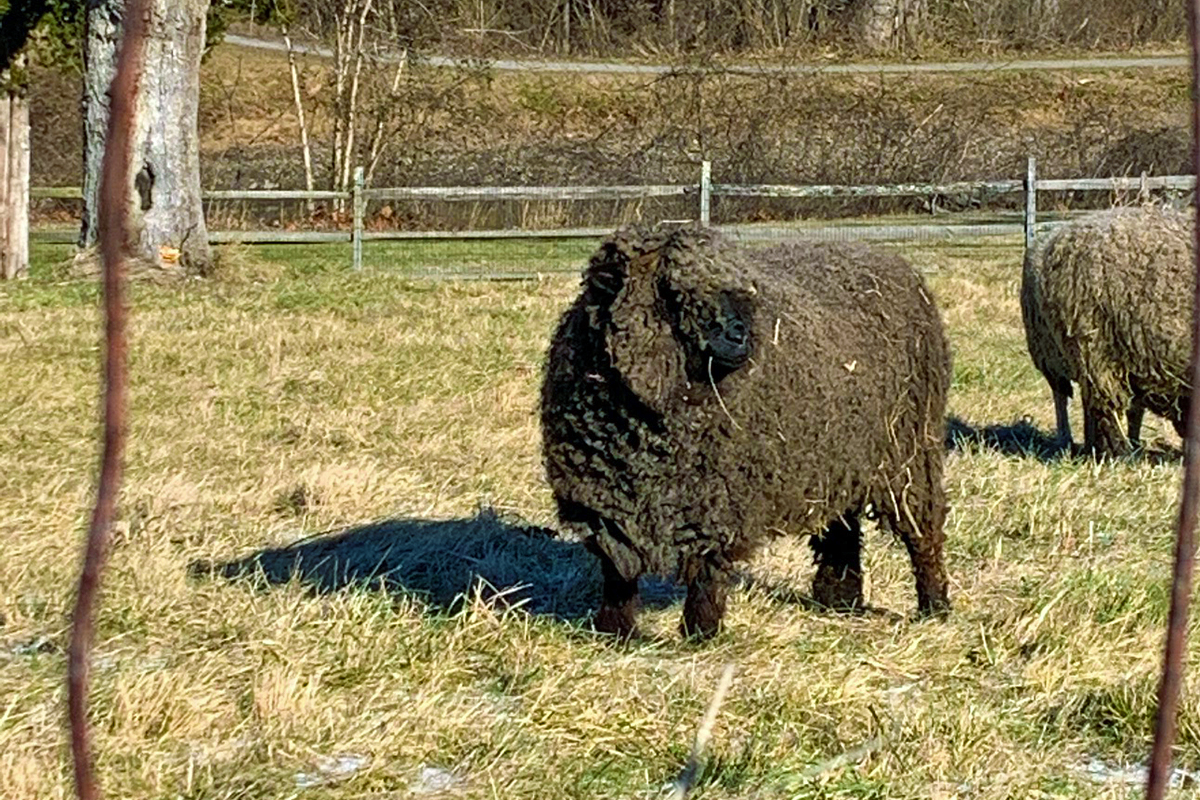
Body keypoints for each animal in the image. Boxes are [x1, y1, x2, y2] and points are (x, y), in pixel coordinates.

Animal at [540, 224, 951, 640]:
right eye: (672, 291)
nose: (741, 336)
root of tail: (890, 258)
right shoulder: (605, 505)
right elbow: (617, 573)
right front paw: (613, 631)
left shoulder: (721, 501)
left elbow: (707, 570)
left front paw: (701, 633)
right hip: (839, 453)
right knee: (841, 524)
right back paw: (839, 599)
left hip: (908, 449)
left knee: (922, 529)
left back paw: (935, 606)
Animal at [1020, 206, 1194, 459]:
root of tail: (1046, 243)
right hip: (1088, 349)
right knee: (1080, 399)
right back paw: (1104, 448)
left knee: (1098, 402)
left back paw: (1107, 445)